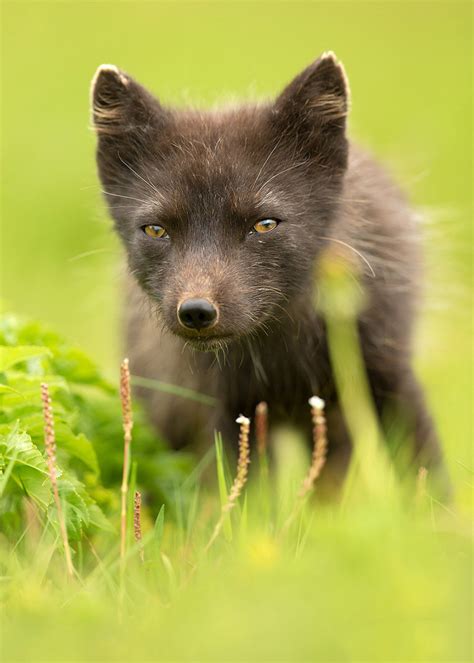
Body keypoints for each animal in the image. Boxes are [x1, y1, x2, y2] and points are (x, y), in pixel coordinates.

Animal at [91, 52, 449, 496]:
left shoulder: (389, 373)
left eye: (264, 224)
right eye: (156, 230)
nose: (196, 312)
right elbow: (246, 497)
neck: (283, 352)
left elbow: (427, 473)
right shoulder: (228, 410)